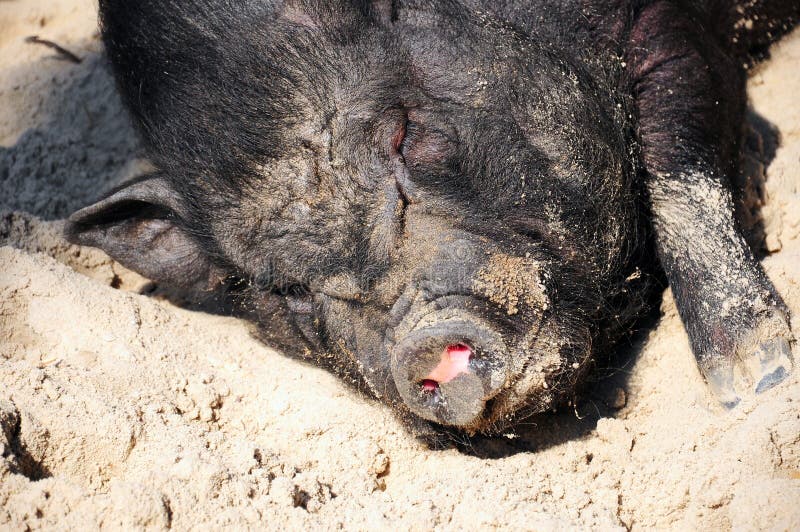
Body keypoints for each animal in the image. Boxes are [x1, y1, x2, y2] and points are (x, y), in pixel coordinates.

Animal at [66, 0, 798, 437]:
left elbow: (681, 174)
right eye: (288, 289)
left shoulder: (661, 26)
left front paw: (759, 382)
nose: (417, 341)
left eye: (403, 132)